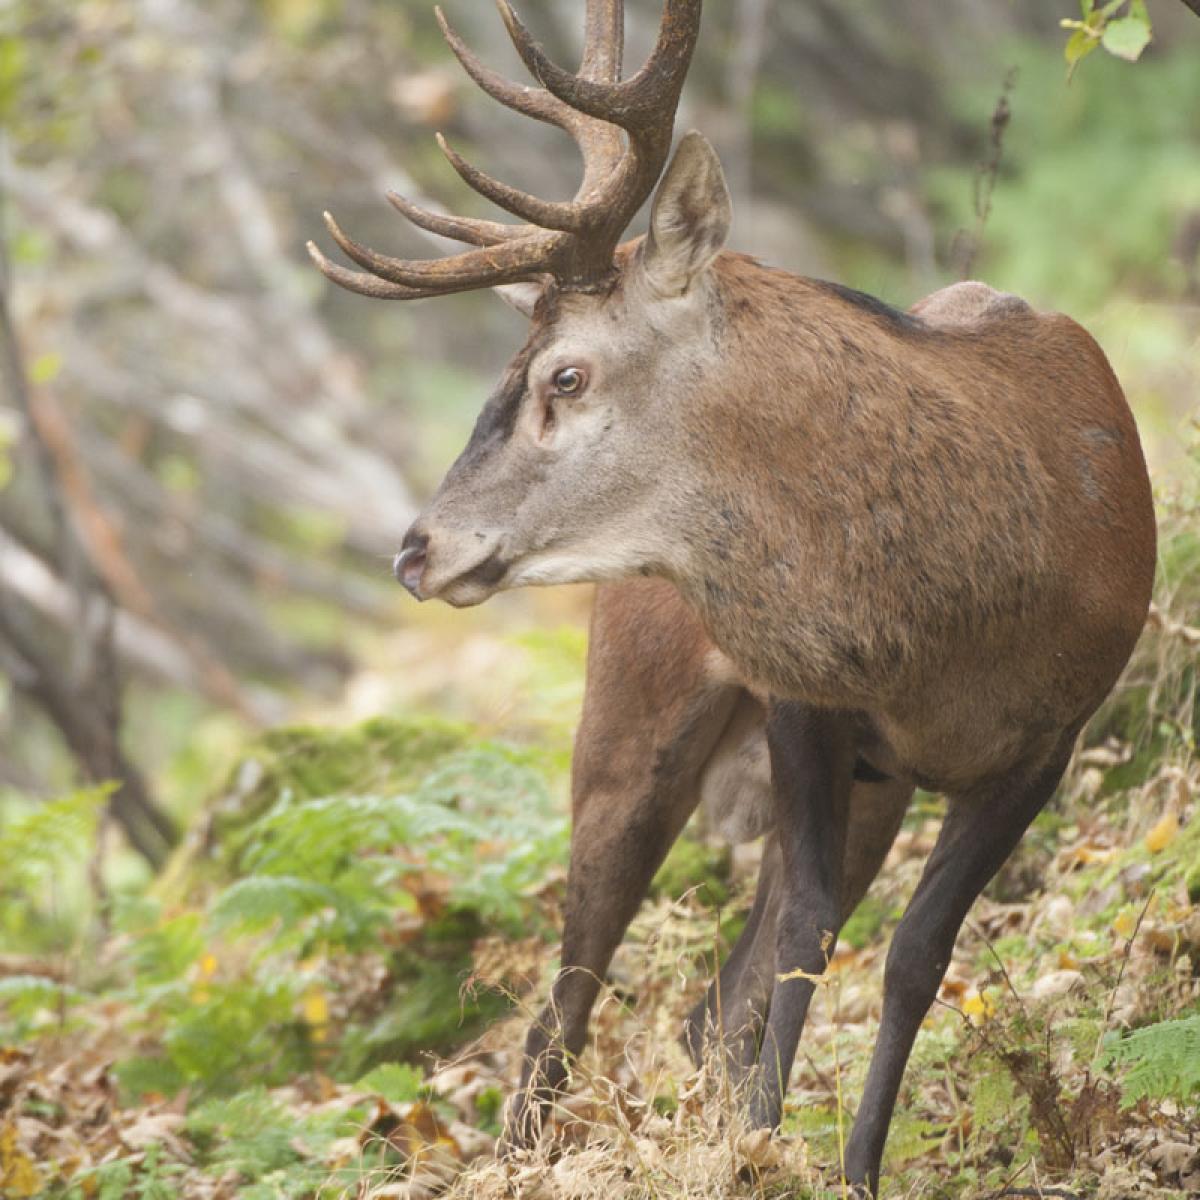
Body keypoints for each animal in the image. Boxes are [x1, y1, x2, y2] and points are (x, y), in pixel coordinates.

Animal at [307, 1, 1157, 1192]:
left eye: (565, 374)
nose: (418, 551)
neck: (951, 625)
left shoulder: (1053, 733)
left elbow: (913, 954)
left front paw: (848, 1165)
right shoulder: (807, 698)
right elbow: (805, 938)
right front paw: (759, 1146)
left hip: (876, 788)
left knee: (706, 1003)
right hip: (633, 717)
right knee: (570, 999)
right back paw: (532, 1155)